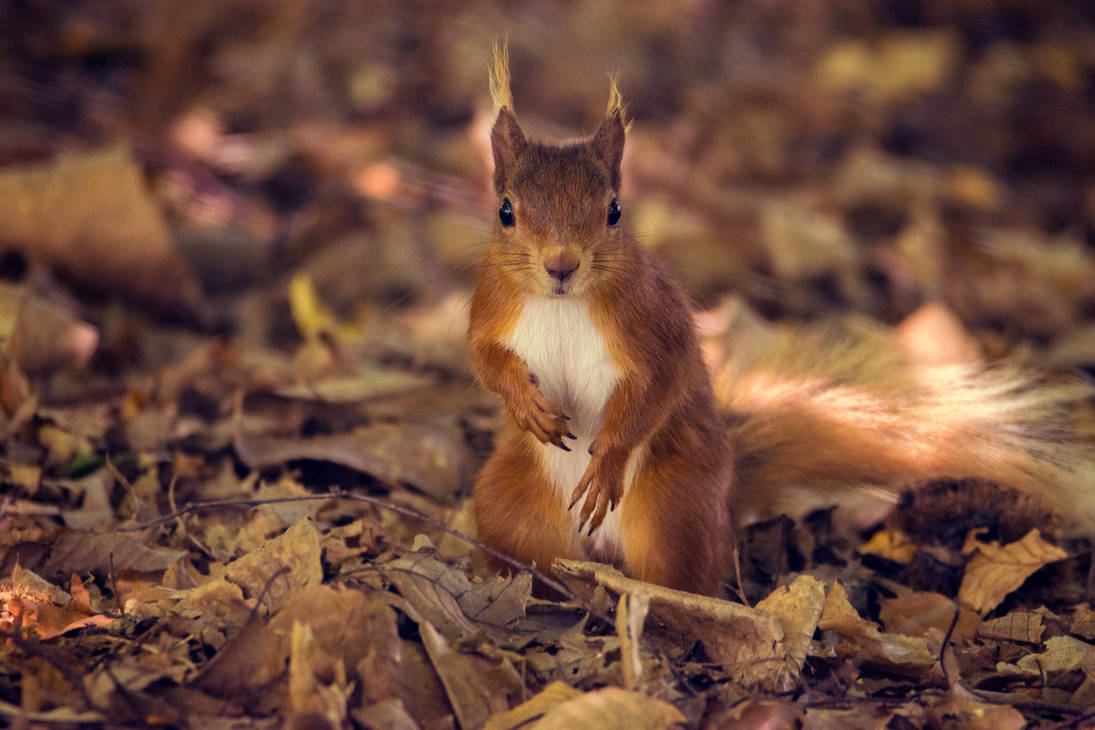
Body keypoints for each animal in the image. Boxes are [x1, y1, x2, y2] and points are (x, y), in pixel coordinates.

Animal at [467, 45, 1095, 597]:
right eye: (506, 212)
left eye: (614, 212)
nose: (561, 266)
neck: (561, 304)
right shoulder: (492, 306)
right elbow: (484, 357)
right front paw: (525, 404)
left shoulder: (651, 321)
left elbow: (655, 384)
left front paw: (607, 464)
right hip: (506, 499)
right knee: (531, 551)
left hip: (678, 508)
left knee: (682, 578)